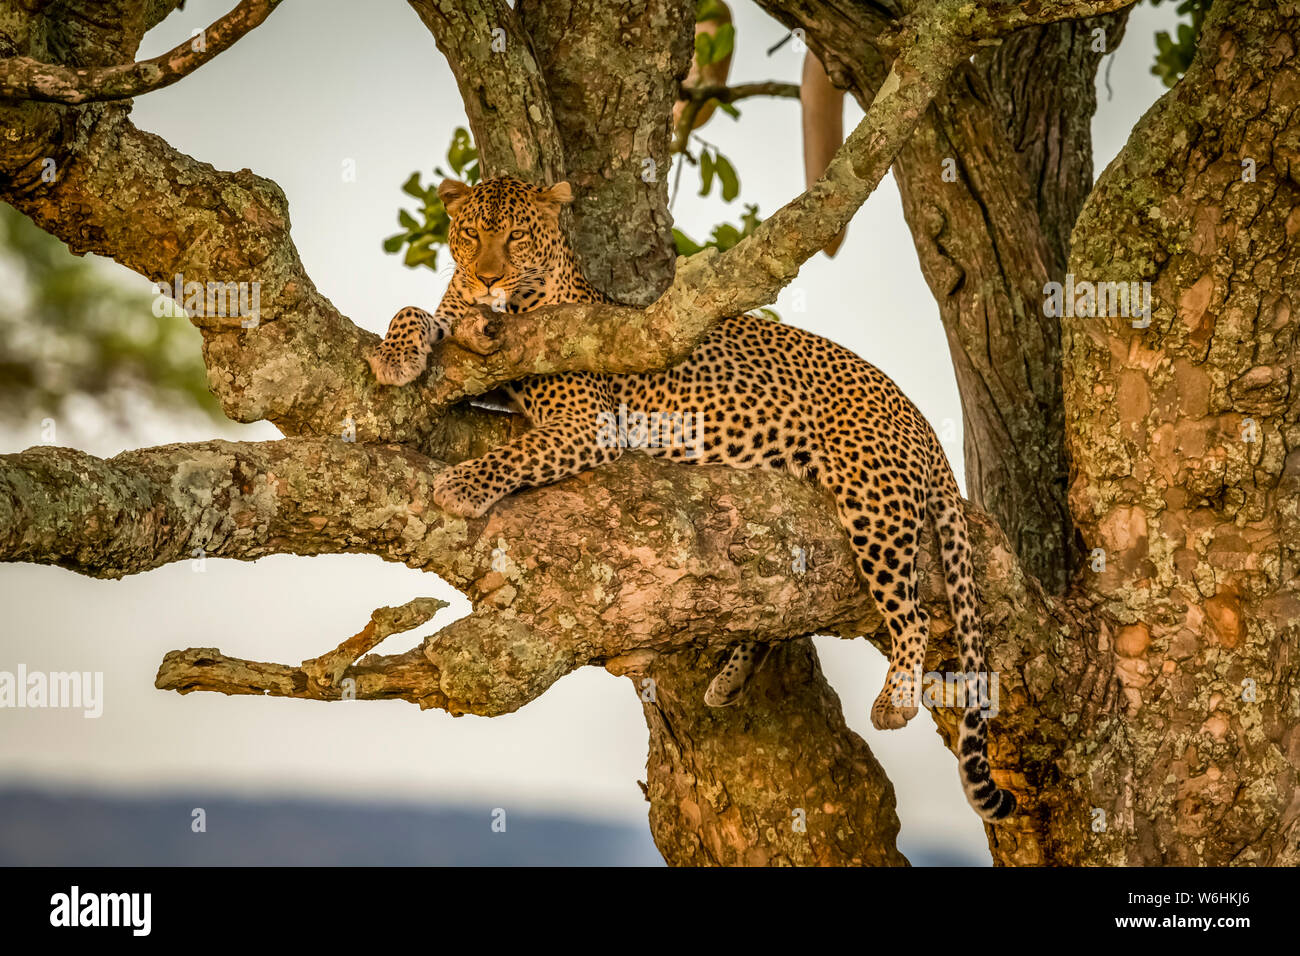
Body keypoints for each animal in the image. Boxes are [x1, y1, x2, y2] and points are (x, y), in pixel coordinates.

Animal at [369, 176, 1016, 822]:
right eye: (470, 234)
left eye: (516, 236)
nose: (487, 278)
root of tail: (916, 414)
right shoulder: (476, 356)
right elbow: (415, 311)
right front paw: (395, 355)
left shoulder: (586, 423)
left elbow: (520, 452)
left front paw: (459, 486)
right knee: (780, 606)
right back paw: (730, 680)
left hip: (873, 501)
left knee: (913, 614)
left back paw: (895, 699)